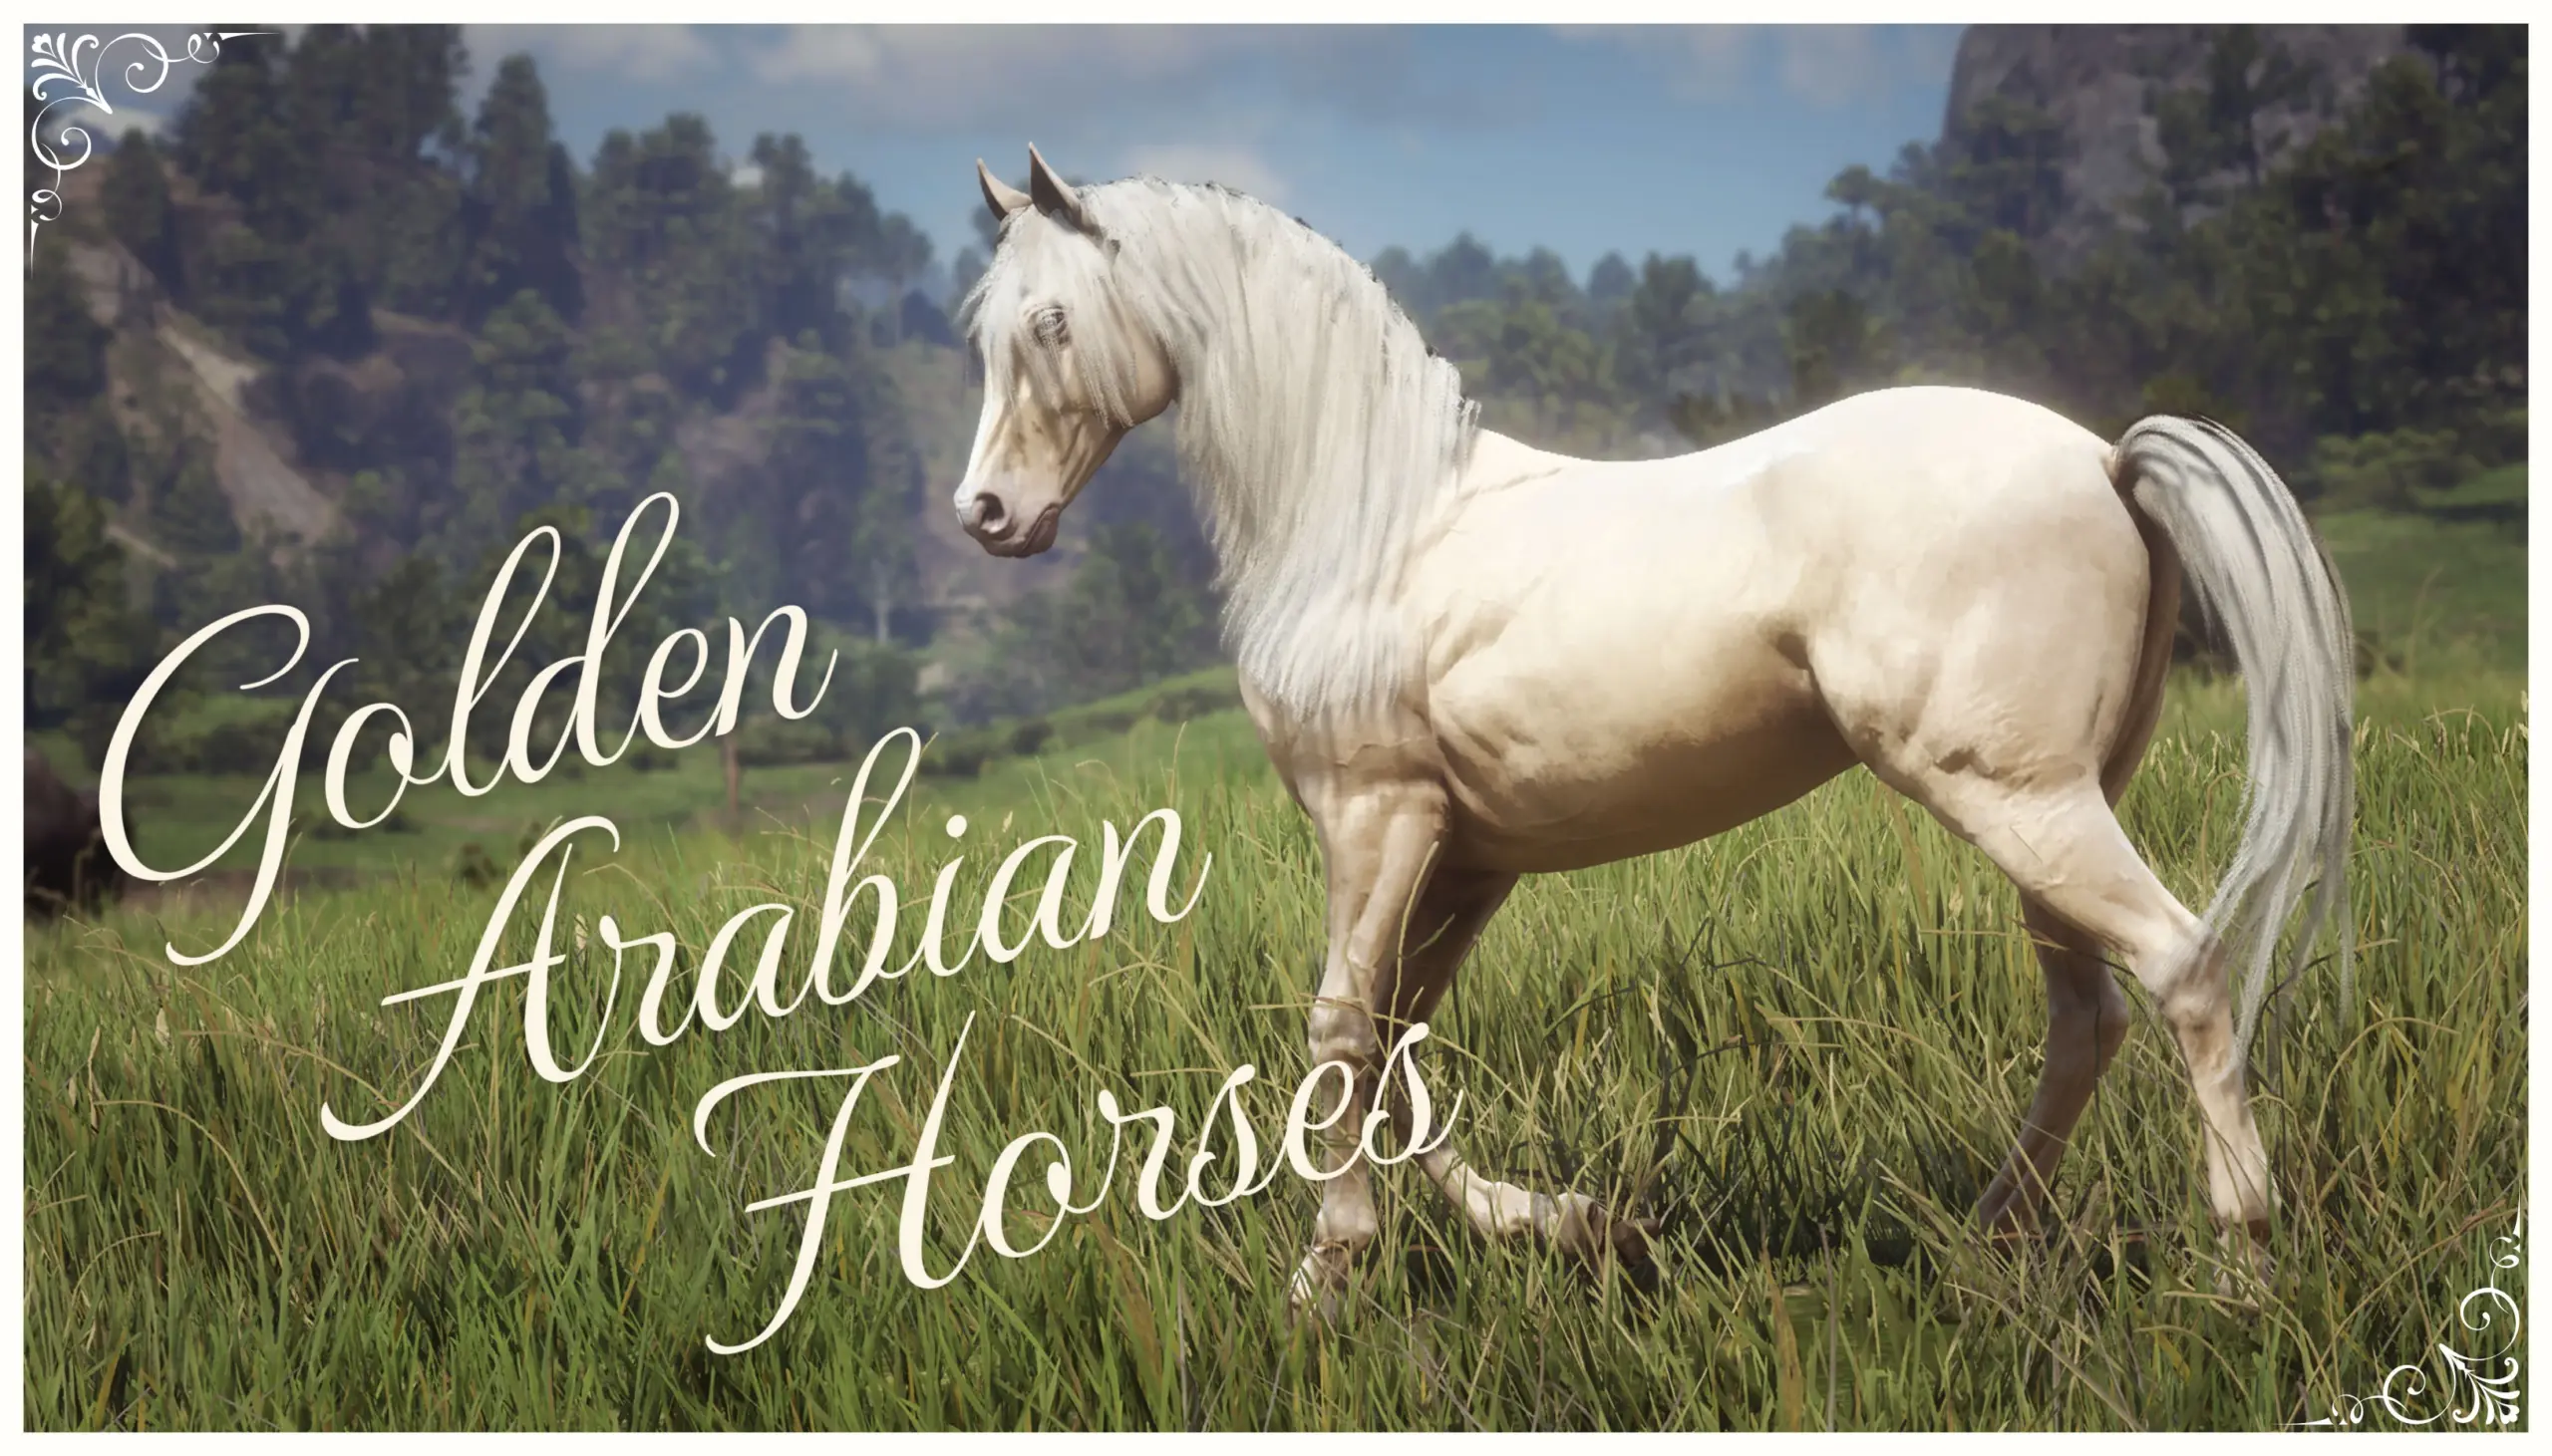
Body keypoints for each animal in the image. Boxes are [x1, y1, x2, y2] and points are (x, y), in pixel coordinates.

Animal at [951, 147, 2356, 1320]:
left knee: (2182, 972)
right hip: (2046, 810)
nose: (987, 515)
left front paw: (1325, 1280)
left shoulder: (1377, 820)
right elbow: (1401, 1051)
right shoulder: (1467, 857)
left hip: (2015, 800)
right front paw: (1579, 1226)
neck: (1370, 526)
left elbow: (1342, 1036)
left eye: (1053, 322)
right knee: (2086, 1022)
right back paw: (1985, 1243)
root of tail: (2106, 461)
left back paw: (2242, 1271)